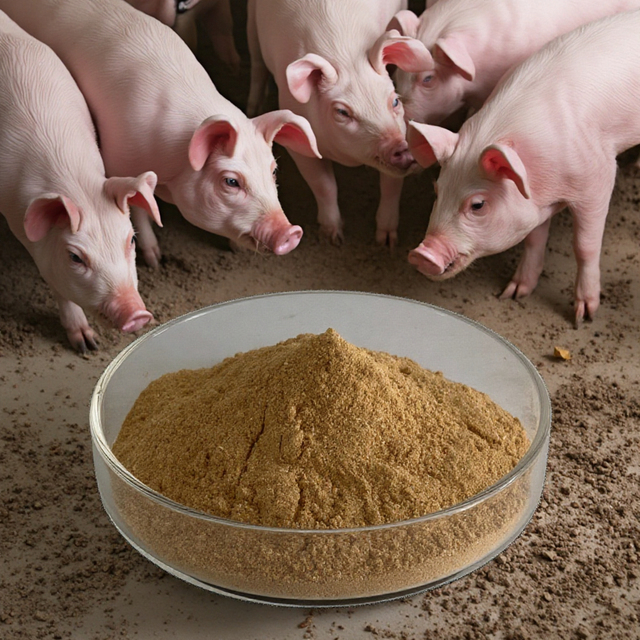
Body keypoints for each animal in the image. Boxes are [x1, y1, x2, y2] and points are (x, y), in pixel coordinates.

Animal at [0, 0, 320, 269]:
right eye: (231, 181)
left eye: (273, 170)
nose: (291, 232)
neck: (171, 170)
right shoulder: (118, 159)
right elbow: (138, 208)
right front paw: (155, 260)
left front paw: (234, 248)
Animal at [247, 0, 433, 247]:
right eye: (342, 112)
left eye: (394, 100)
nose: (401, 148)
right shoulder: (298, 143)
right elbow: (324, 185)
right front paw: (333, 237)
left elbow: (391, 186)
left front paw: (387, 242)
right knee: (256, 63)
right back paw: (252, 108)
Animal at [406, 10, 640, 324]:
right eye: (436, 191)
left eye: (478, 205)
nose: (421, 255)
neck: (543, 185)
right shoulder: (535, 206)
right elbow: (533, 240)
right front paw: (514, 293)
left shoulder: (598, 177)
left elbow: (585, 246)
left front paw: (583, 316)